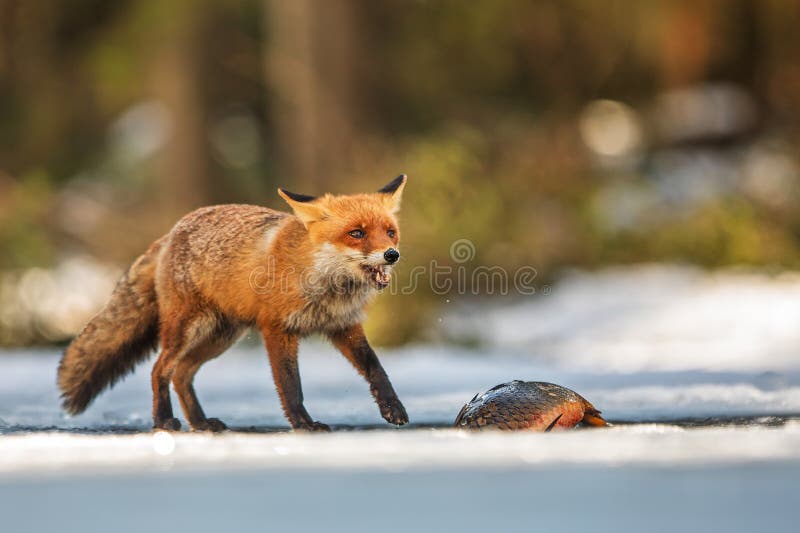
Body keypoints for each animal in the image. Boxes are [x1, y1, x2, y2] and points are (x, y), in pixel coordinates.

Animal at [57, 175, 410, 432]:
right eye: (357, 233)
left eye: (390, 232)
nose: (392, 255)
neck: (326, 286)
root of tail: (171, 232)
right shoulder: (277, 329)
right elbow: (290, 385)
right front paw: (303, 424)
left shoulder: (343, 326)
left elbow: (376, 370)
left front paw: (393, 408)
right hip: (187, 330)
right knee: (160, 369)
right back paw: (164, 421)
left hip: (220, 336)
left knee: (181, 374)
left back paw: (200, 423)